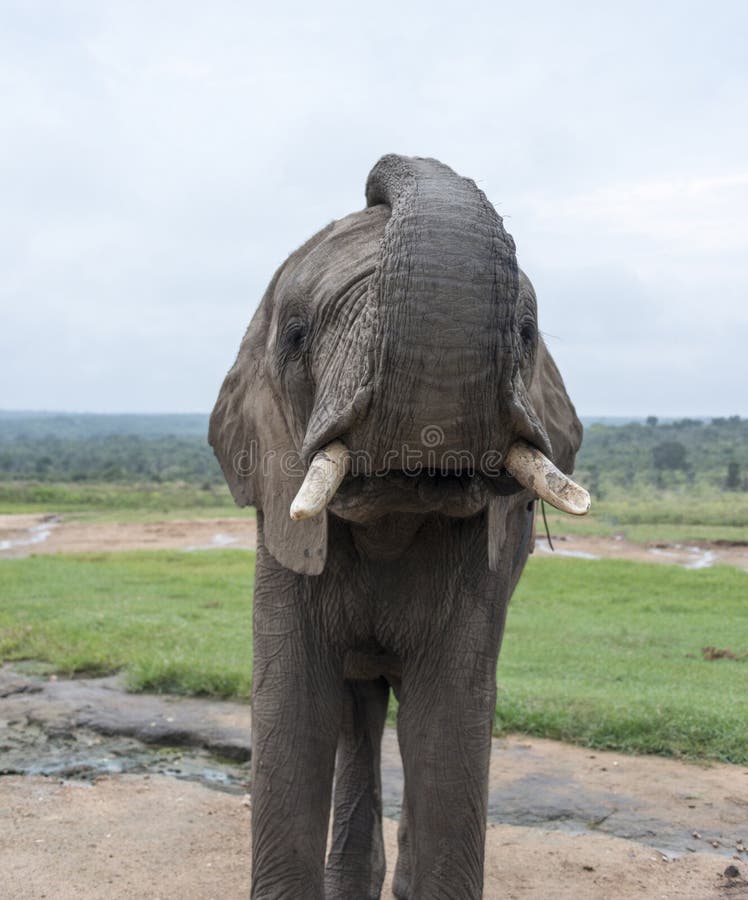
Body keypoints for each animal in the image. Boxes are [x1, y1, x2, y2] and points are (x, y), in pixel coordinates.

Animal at [209, 154, 588, 899]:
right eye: (295, 334)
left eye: (526, 334)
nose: (377, 175)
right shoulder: (283, 536)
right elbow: (292, 710)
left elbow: (447, 720)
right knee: (357, 711)